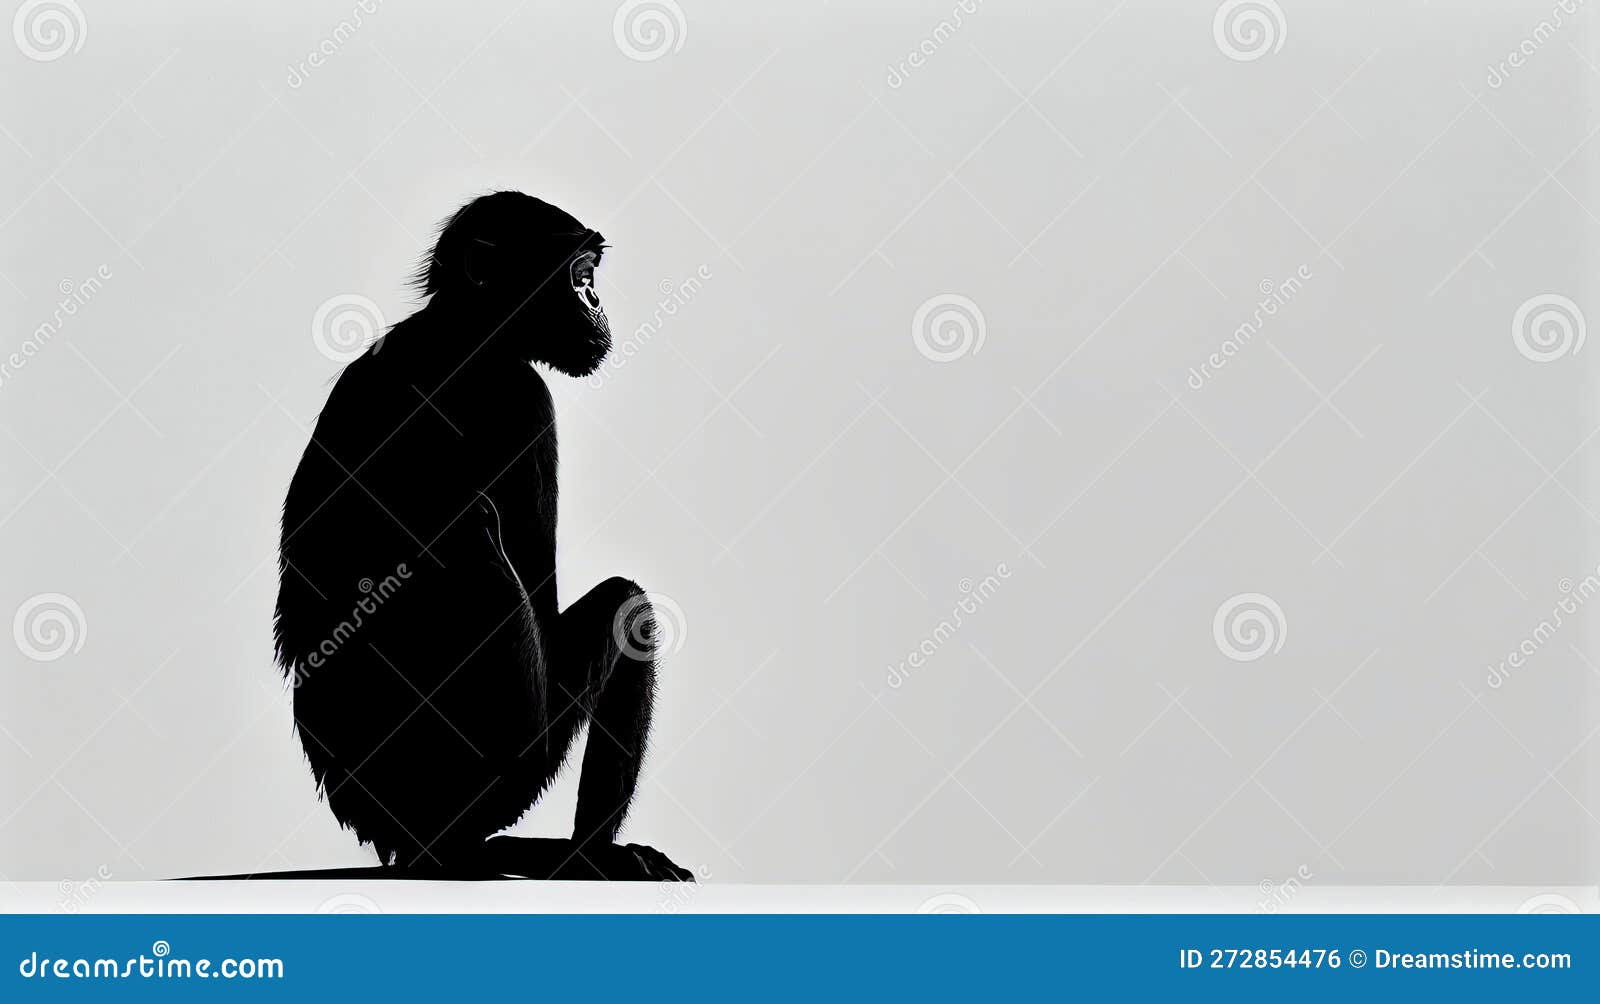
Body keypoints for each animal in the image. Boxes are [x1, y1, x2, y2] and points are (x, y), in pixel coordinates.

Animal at [272, 191, 691, 881]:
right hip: (503, 776)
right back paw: (579, 853)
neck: (459, 333)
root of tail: (399, 839)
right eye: (578, 272)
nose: (594, 300)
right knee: (608, 599)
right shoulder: (528, 399)